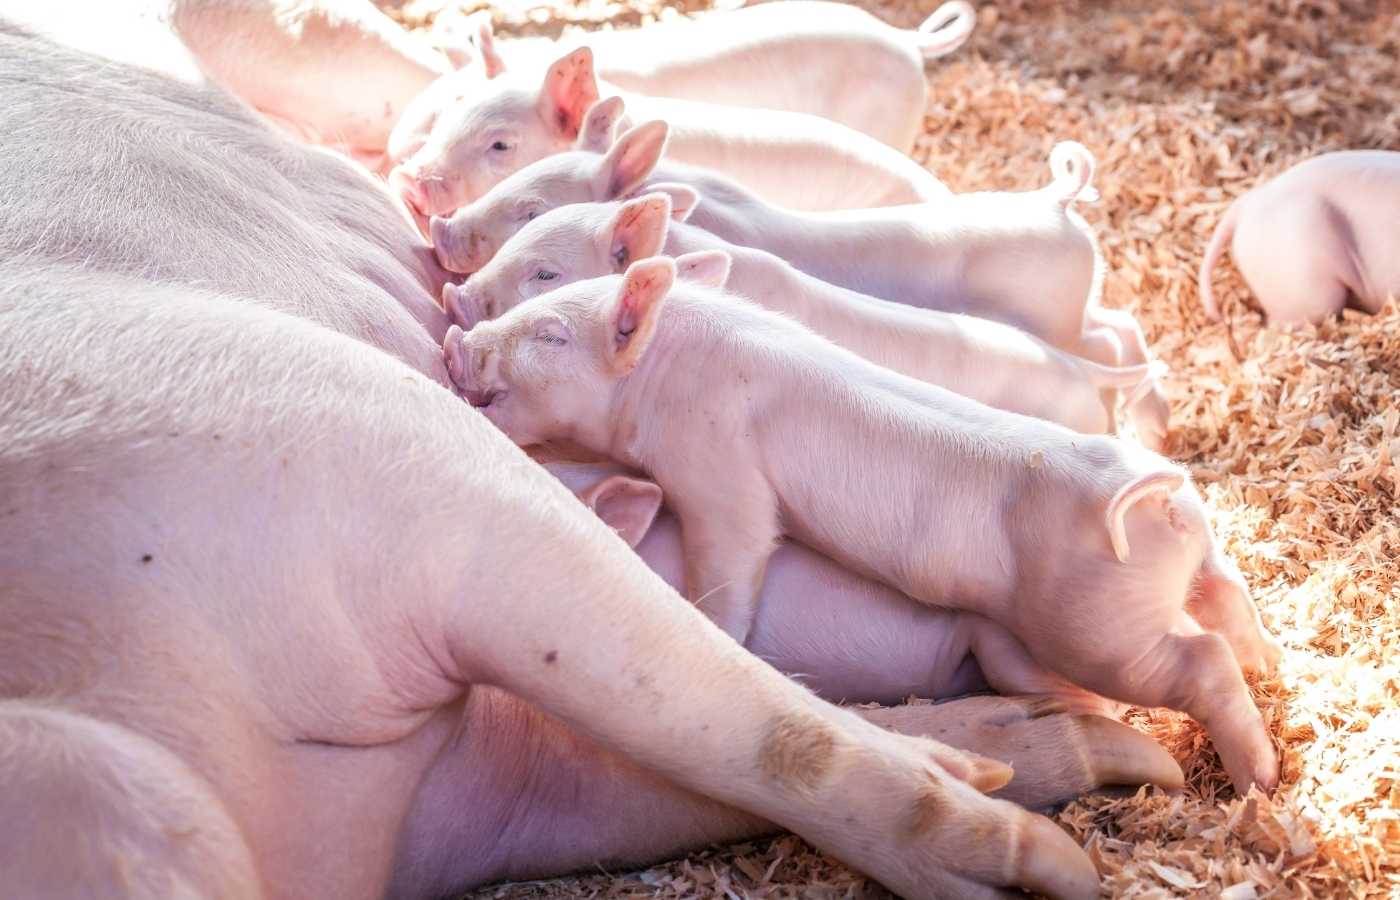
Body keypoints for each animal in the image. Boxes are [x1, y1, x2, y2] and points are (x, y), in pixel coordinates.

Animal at [443, 259, 1284, 794]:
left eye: (551, 334)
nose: (457, 339)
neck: (667, 366)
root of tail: (1152, 496)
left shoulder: (720, 474)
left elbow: (732, 562)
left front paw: (715, 628)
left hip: (1095, 626)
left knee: (1200, 661)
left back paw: (1259, 782)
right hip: (1192, 563)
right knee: (1230, 607)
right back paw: (1274, 671)